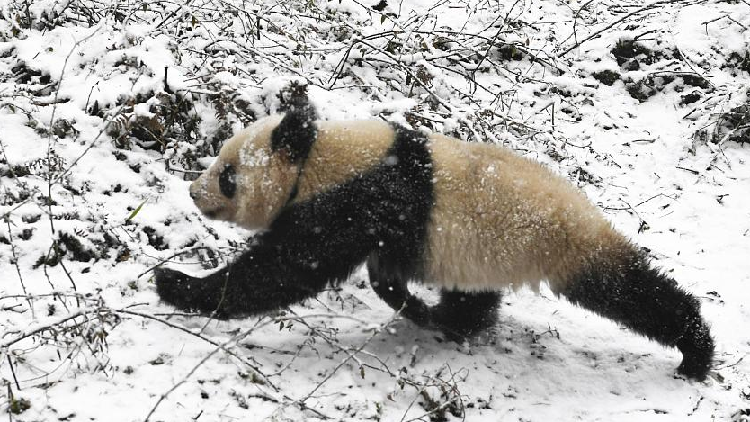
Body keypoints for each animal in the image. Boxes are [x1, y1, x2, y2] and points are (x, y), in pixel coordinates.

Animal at [155, 98, 714, 381]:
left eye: (227, 174)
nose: (194, 191)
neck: (318, 156)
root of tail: (587, 210)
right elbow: (379, 273)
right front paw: (404, 299)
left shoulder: (359, 198)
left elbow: (287, 268)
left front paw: (176, 283)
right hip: (487, 256)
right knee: (474, 298)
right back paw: (447, 321)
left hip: (564, 245)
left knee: (629, 290)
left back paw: (695, 351)